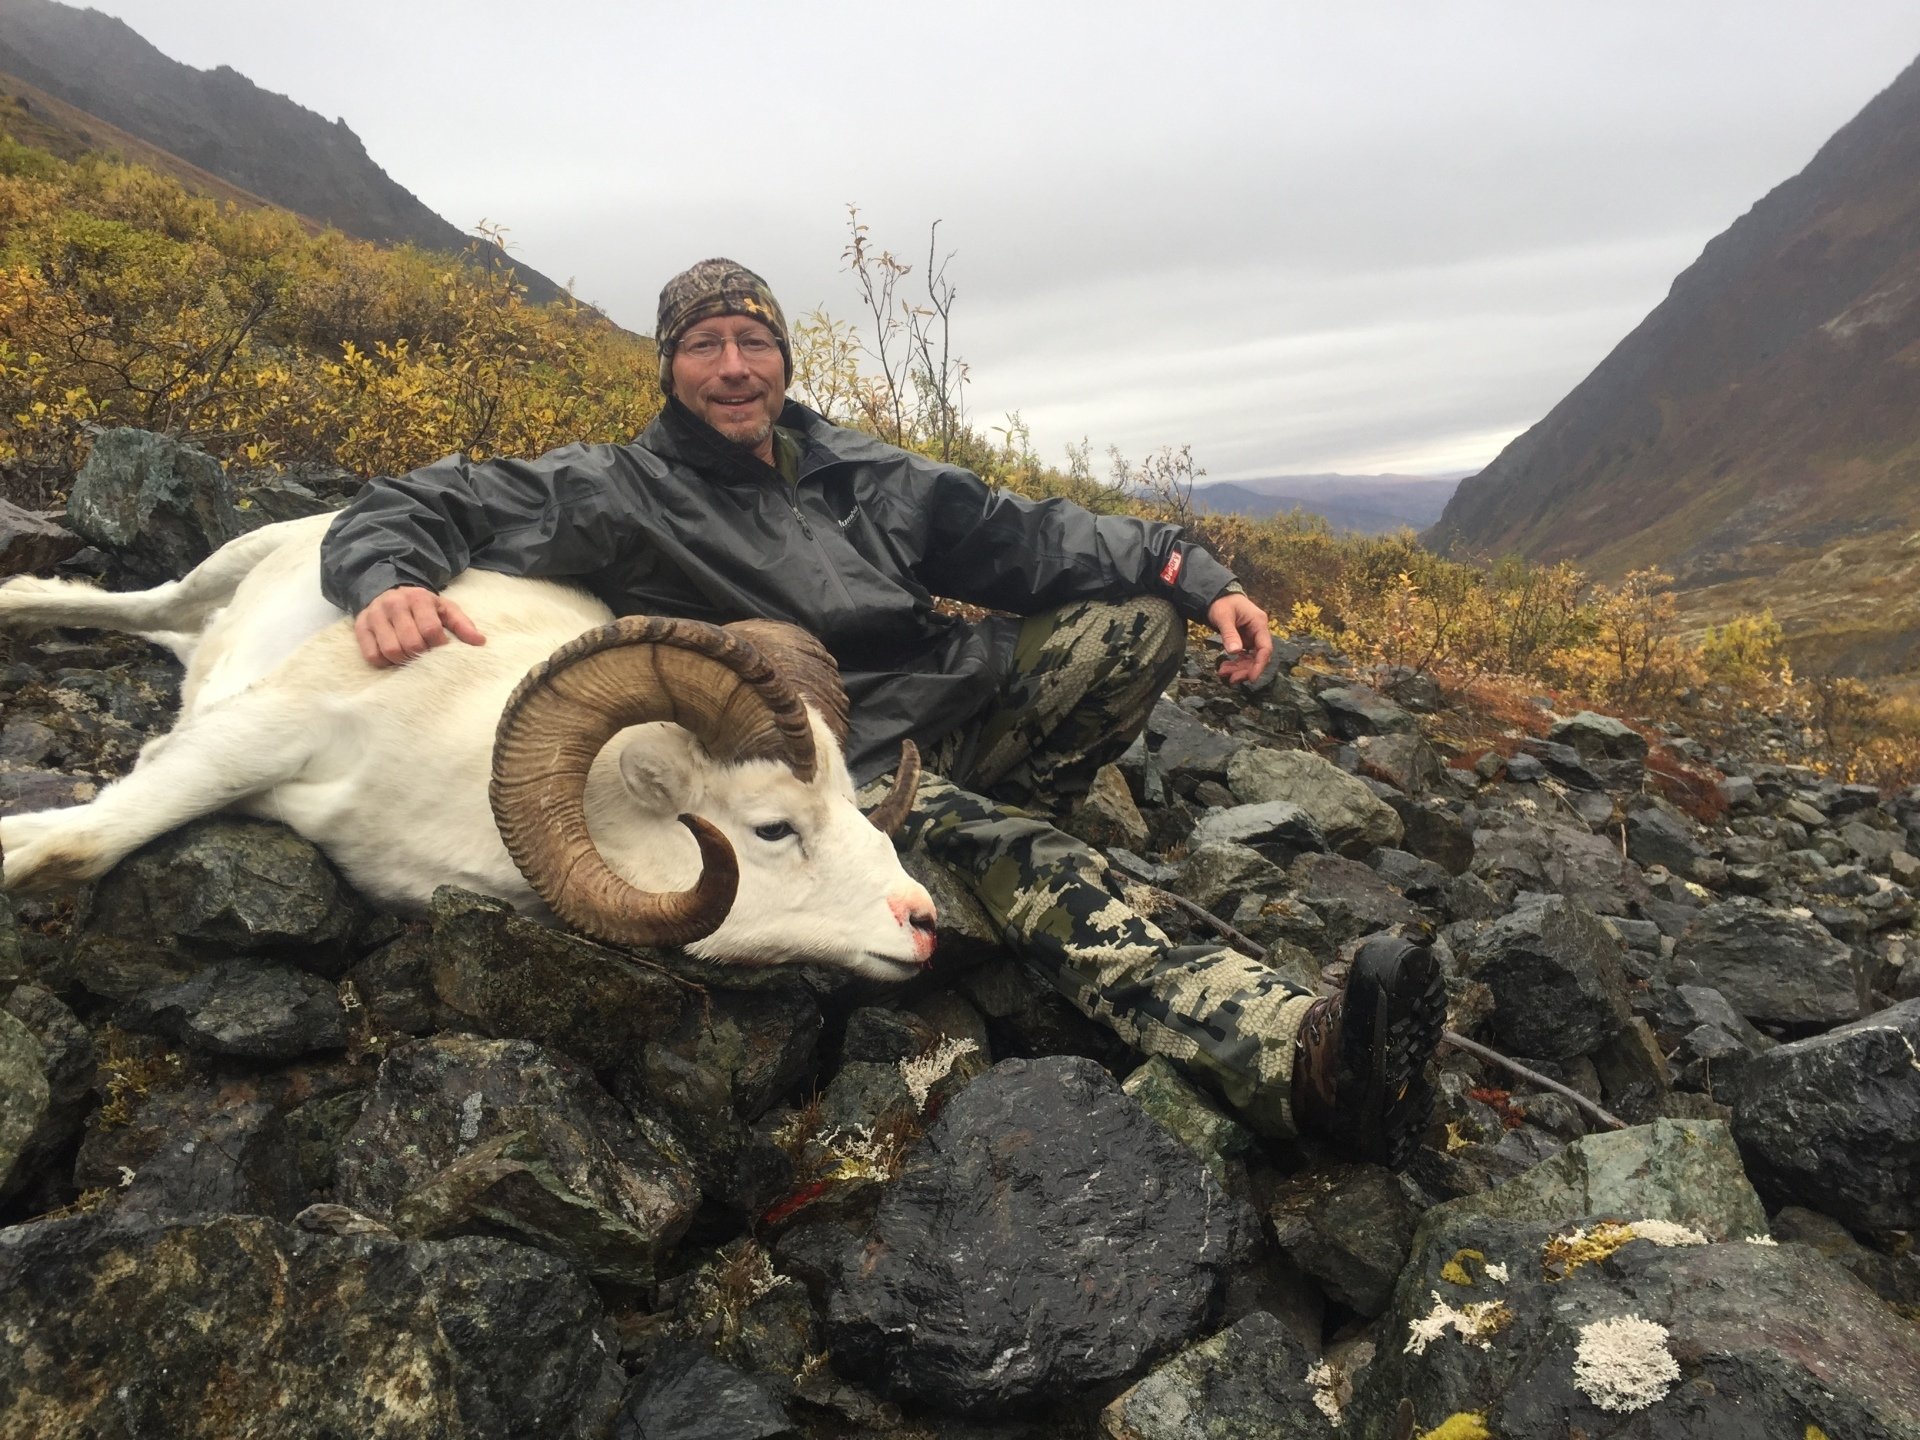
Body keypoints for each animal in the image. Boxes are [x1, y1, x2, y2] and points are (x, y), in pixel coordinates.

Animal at [0, 513, 938, 979]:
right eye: (773, 828)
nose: (926, 925)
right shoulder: (265, 731)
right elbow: (81, 844)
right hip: (227, 563)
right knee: (148, 602)